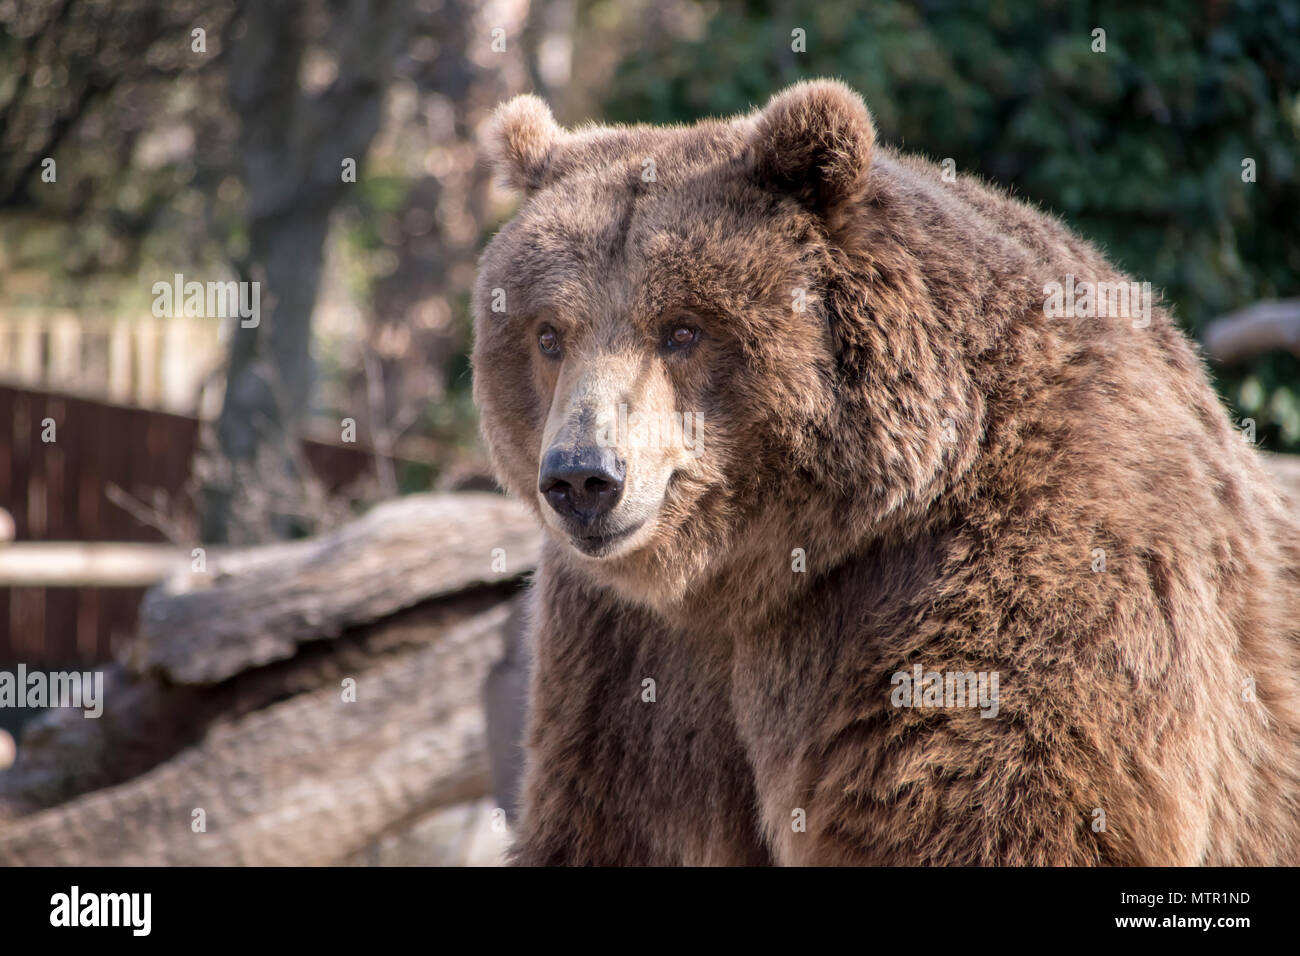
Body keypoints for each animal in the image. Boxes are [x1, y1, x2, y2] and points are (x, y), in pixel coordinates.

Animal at [471, 79, 1300, 865]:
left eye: (683, 327)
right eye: (548, 333)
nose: (583, 478)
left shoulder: (1000, 568)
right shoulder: (626, 657)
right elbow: (610, 817)